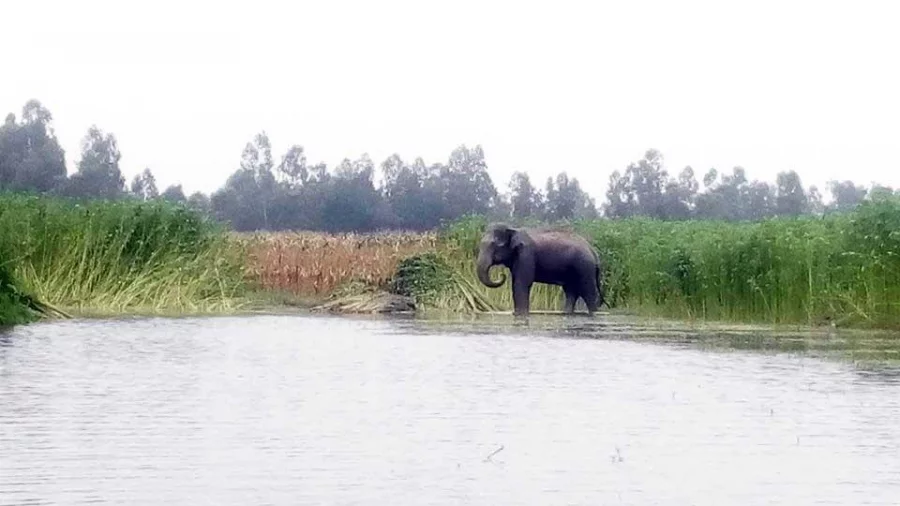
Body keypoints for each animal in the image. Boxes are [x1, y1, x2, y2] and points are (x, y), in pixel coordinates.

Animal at [475, 223, 606, 316]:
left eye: (493, 244)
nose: (502, 275)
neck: (513, 228)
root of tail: (593, 252)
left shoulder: (526, 254)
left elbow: (521, 283)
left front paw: (520, 314)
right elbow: (516, 283)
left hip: (584, 267)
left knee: (588, 292)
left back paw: (593, 313)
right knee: (571, 291)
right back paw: (567, 313)